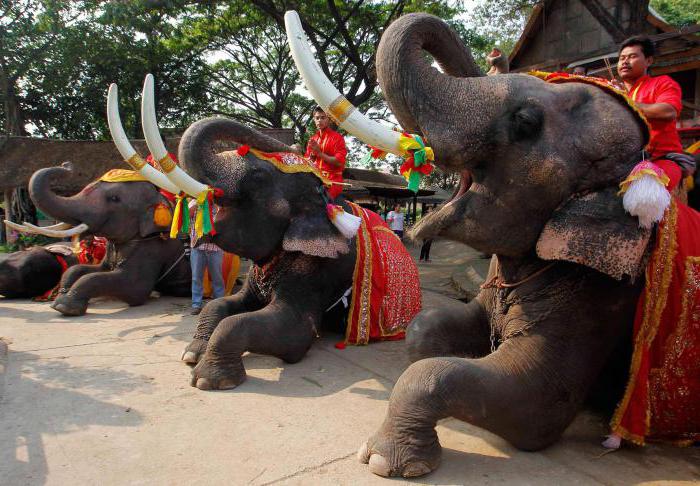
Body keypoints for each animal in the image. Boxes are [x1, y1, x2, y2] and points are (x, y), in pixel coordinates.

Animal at [26, 163, 191, 316]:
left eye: (114, 198)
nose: (66, 165)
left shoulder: (153, 249)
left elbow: (133, 288)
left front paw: (65, 307)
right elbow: (82, 269)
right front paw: (58, 301)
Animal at [284, 11, 660, 478]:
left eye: (525, 122)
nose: (495, 55)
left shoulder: (601, 296)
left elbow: (535, 407)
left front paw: (382, 461)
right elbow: (425, 331)